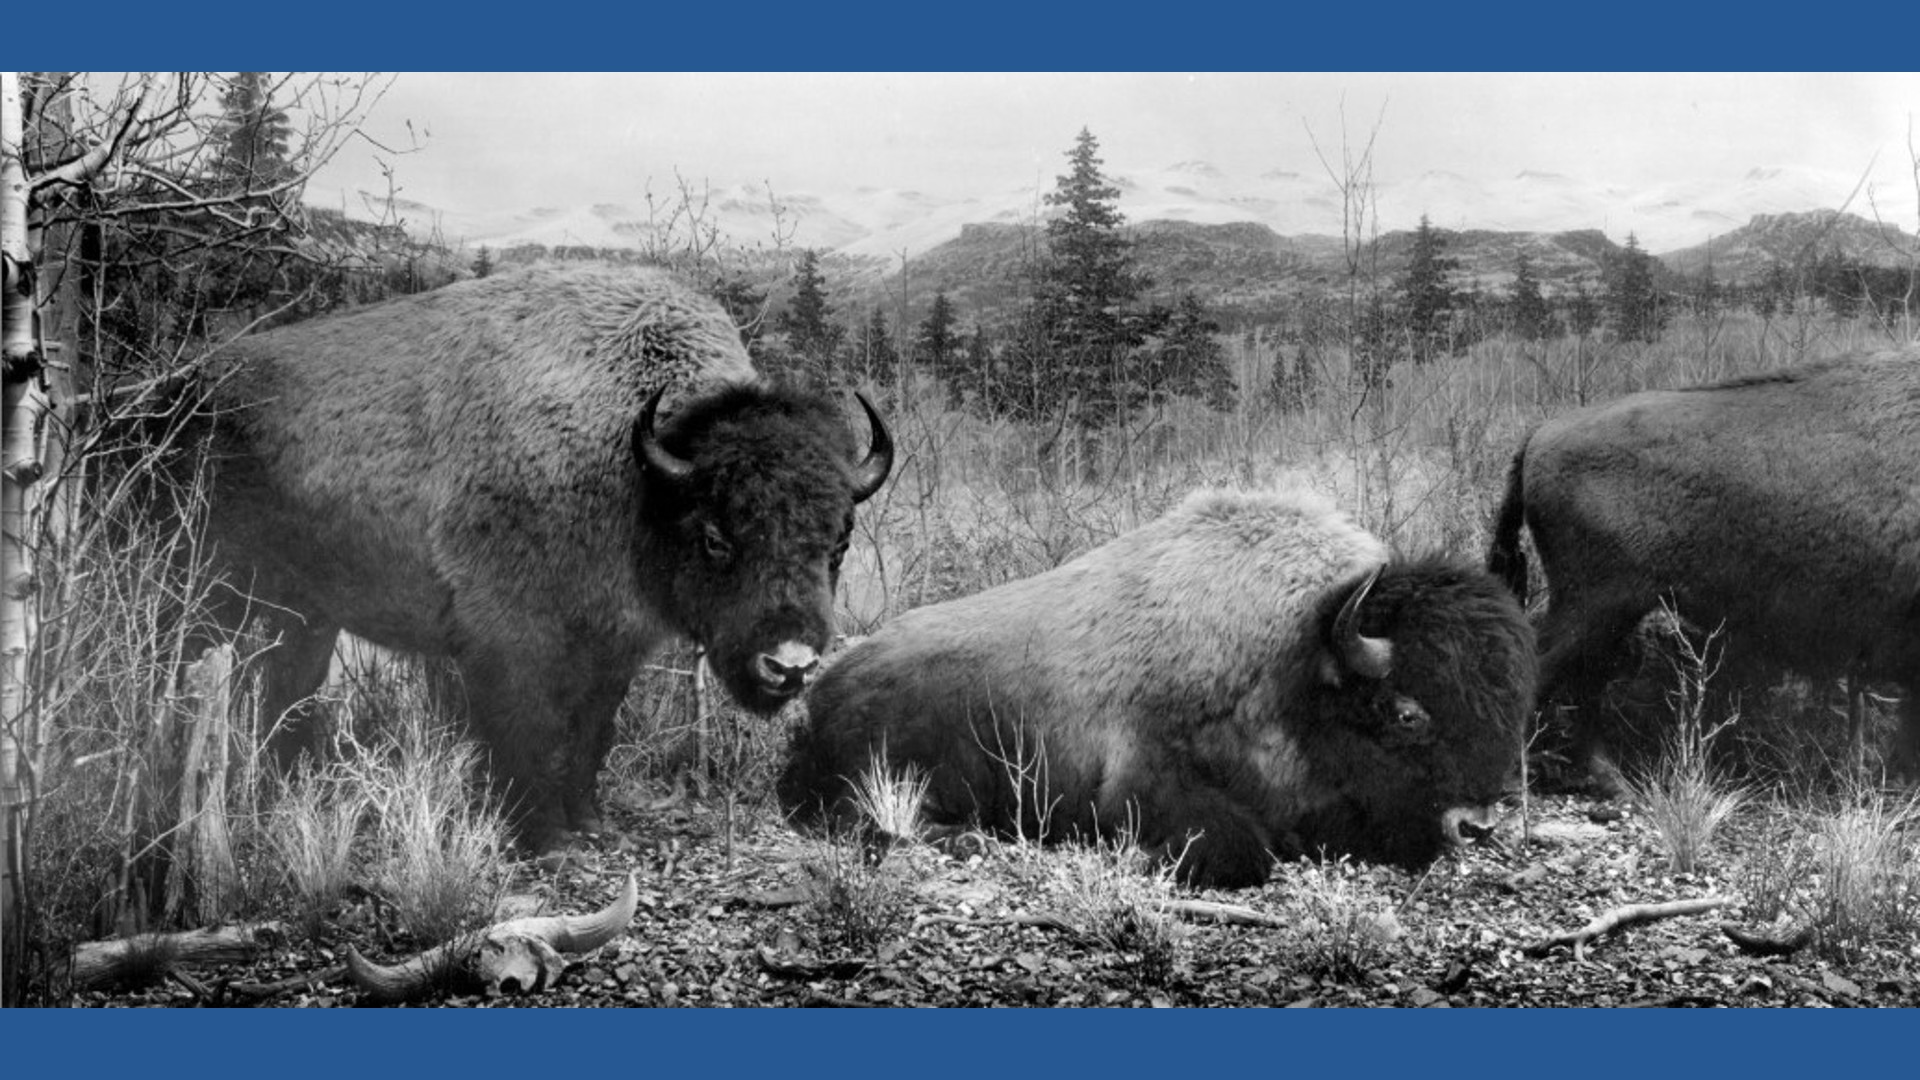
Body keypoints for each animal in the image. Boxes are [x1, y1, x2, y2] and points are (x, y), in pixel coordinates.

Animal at [195, 265, 892, 850]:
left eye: (839, 542)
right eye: (716, 536)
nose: (790, 665)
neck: (639, 470)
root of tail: (185, 391)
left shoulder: (614, 648)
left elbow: (590, 737)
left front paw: (593, 825)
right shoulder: (510, 639)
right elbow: (528, 734)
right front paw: (550, 842)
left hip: (309, 616)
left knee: (287, 694)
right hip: (212, 594)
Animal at [779, 487, 1535, 888]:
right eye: (1407, 712)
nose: (1474, 826)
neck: (1297, 661)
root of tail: (823, 694)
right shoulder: (1144, 782)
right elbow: (1245, 851)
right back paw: (968, 842)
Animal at [1486, 346, 1920, 781]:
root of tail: (1540, 434)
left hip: (1606, 612)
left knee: (1585, 680)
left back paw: (1607, 778)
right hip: (1593, 606)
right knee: (1548, 671)